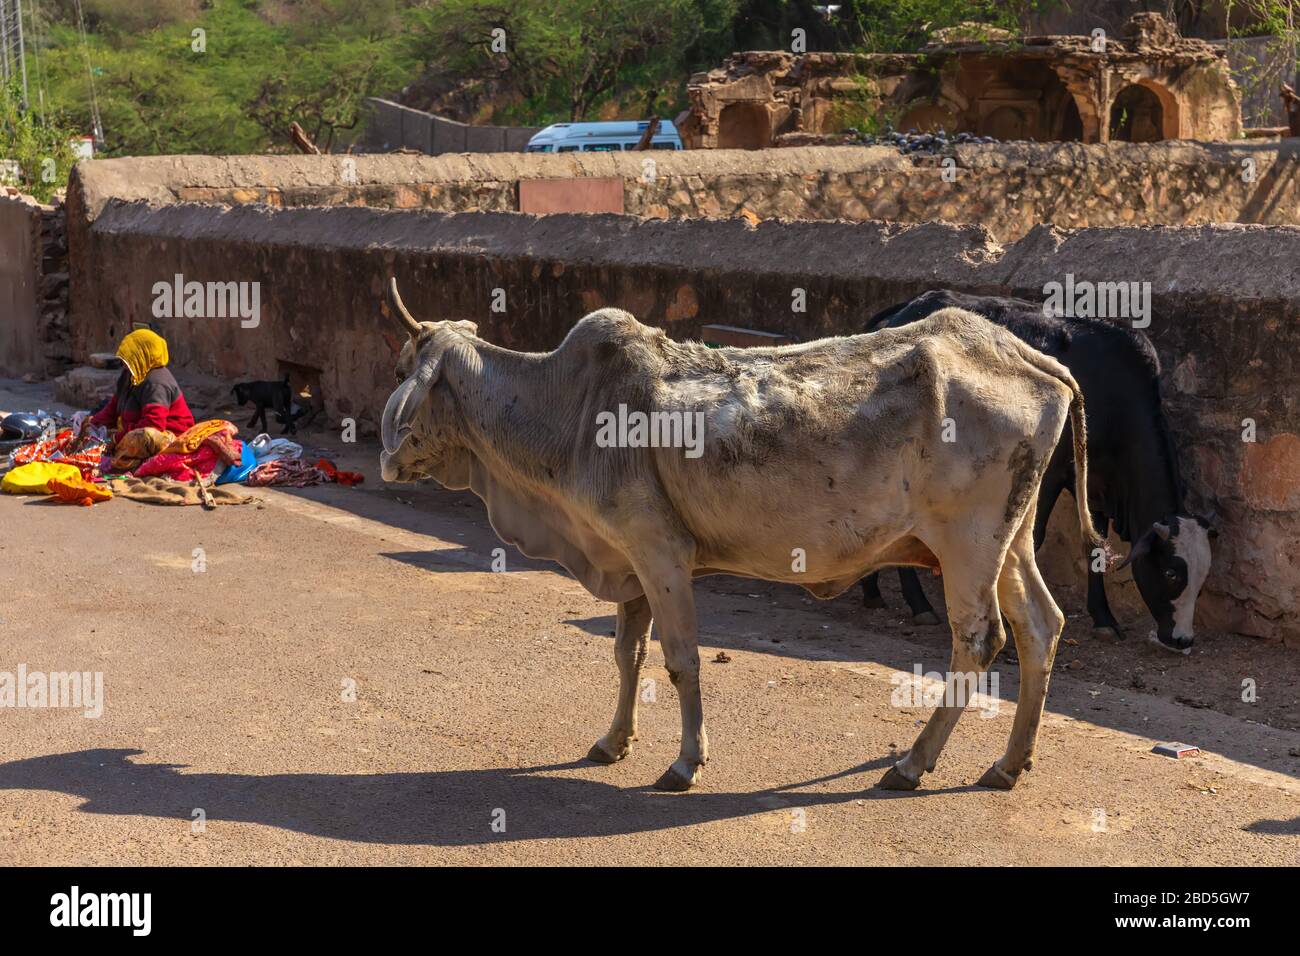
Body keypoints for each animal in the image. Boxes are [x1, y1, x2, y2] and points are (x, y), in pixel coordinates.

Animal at [379, 279, 1112, 792]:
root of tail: (1024, 354)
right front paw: (613, 742)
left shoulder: (660, 553)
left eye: (403, 369)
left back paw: (912, 763)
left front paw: (685, 763)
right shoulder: (628, 560)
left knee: (979, 642)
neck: (570, 409)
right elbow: (626, 655)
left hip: (966, 544)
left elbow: (681, 660)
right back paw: (1009, 764)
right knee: (1041, 627)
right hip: (1009, 541)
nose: (389, 460)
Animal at [859, 289, 1215, 654]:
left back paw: (873, 591)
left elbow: (1095, 546)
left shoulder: (1096, 484)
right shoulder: (1052, 473)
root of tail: (907, 308)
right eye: (1172, 574)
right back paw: (918, 604)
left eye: (1203, 580)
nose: (1182, 639)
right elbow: (1033, 539)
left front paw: (1104, 619)